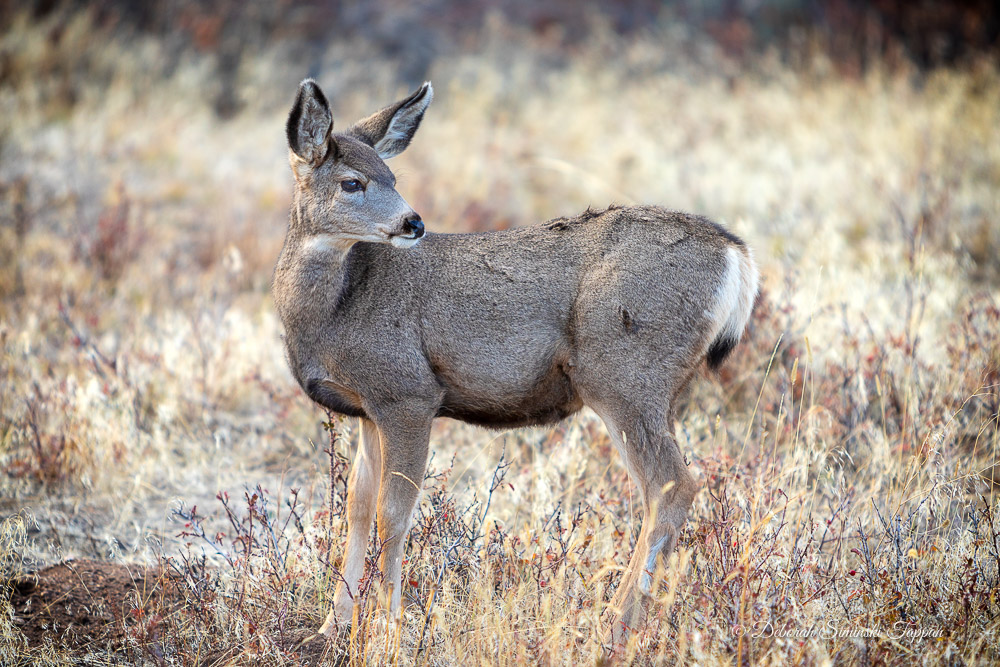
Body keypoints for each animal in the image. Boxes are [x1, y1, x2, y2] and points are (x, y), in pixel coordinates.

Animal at [271, 78, 759, 644]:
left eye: (391, 177)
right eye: (353, 182)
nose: (413, 222)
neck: (334, 311)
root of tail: (736, 255)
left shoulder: (407, 392)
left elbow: (393, 514)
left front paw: (388, 628)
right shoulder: (368, 408)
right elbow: (356, 507)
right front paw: (331, 627)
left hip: (627, 374)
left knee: (672, 485)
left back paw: (612, 623)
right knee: (663, 488)